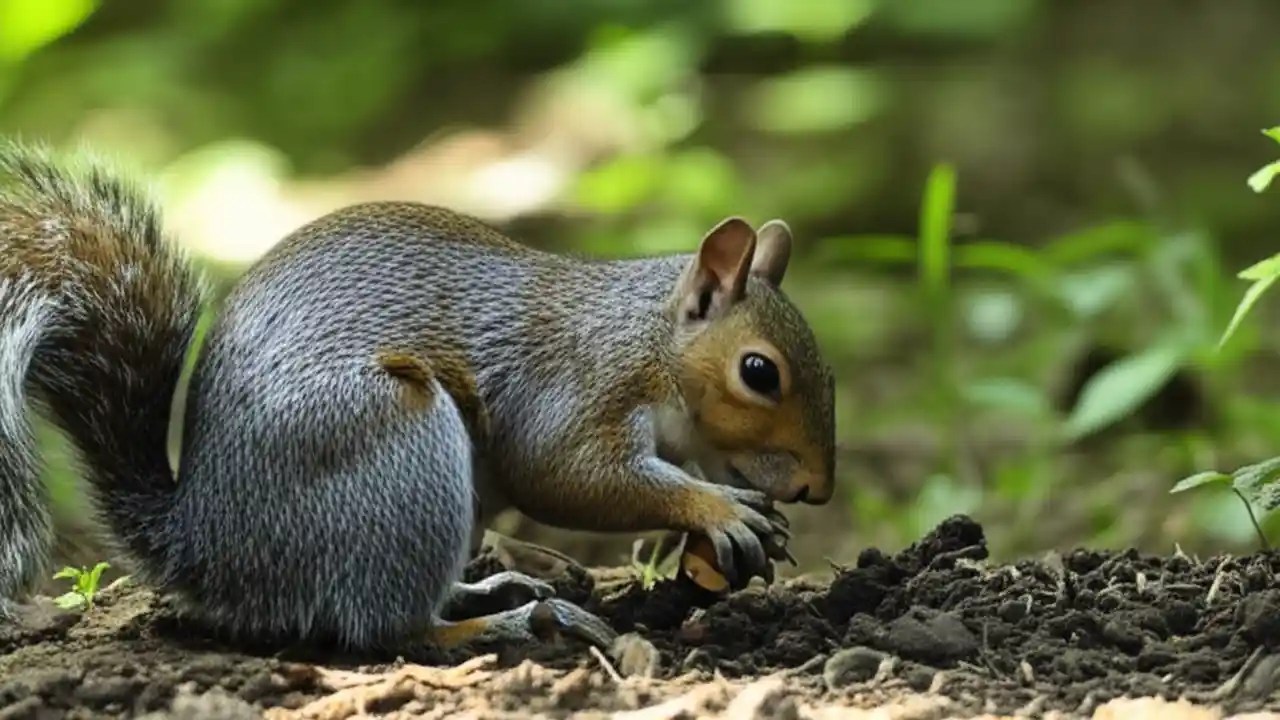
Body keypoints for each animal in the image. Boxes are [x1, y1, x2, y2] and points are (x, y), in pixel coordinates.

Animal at [0, 139, 835, 652]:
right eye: (760, 372)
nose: (816, 490)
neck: (648, 340)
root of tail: (206, 546)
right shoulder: (577, 386)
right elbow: (568, 476)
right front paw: (718, 508)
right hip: (397, 445)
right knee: (387, 628)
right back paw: (507, 626)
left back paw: (491, 588)